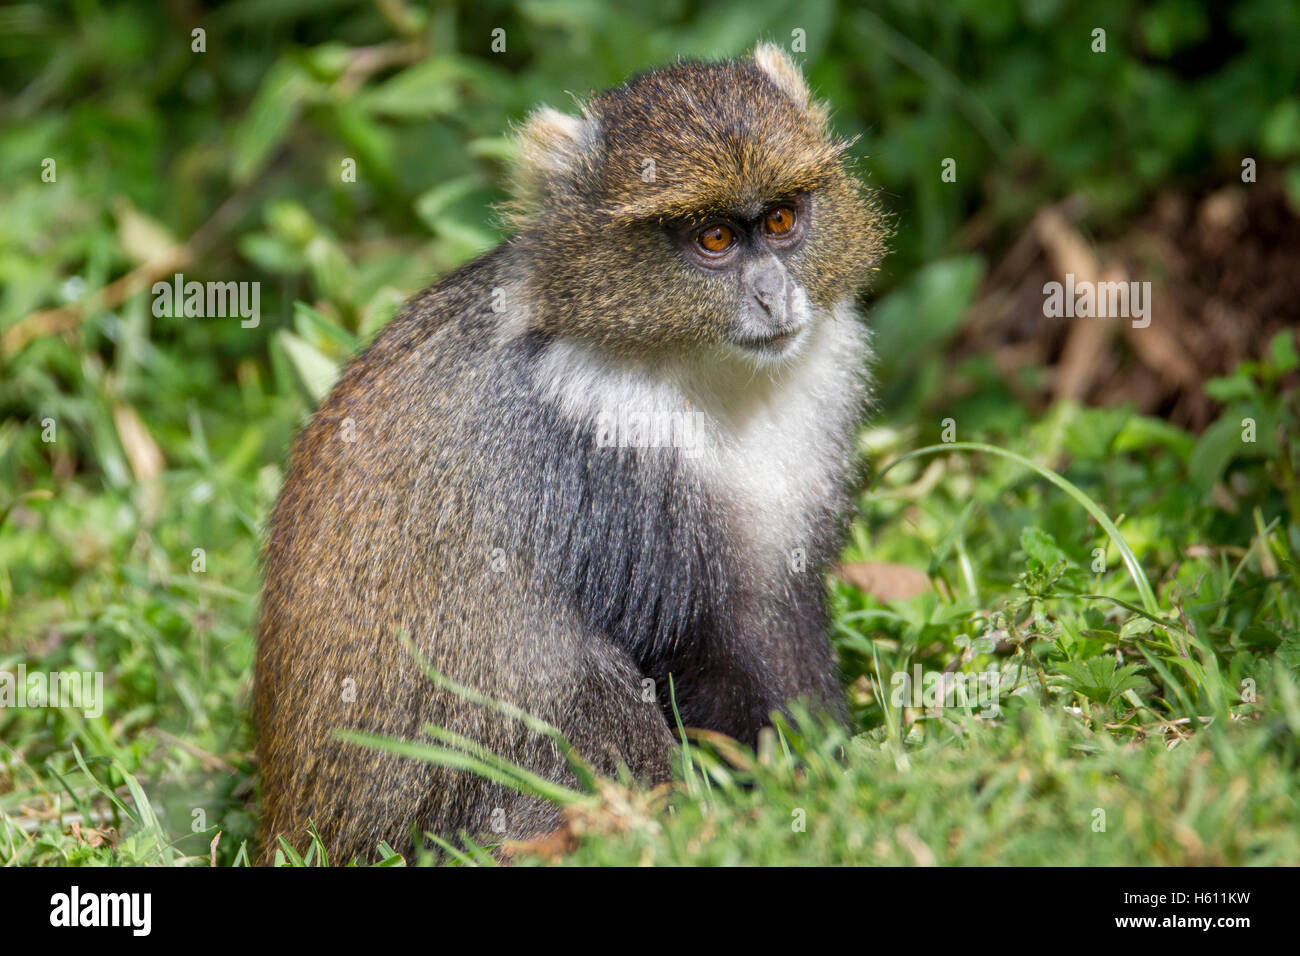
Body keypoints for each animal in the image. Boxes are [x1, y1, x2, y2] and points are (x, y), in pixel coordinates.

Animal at [255, 43, 885, 864]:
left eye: (781, 220)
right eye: (713, 239)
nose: (774, 297)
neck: (693, 367)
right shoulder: (616, 450)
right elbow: (717, 641)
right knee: (573, 683)